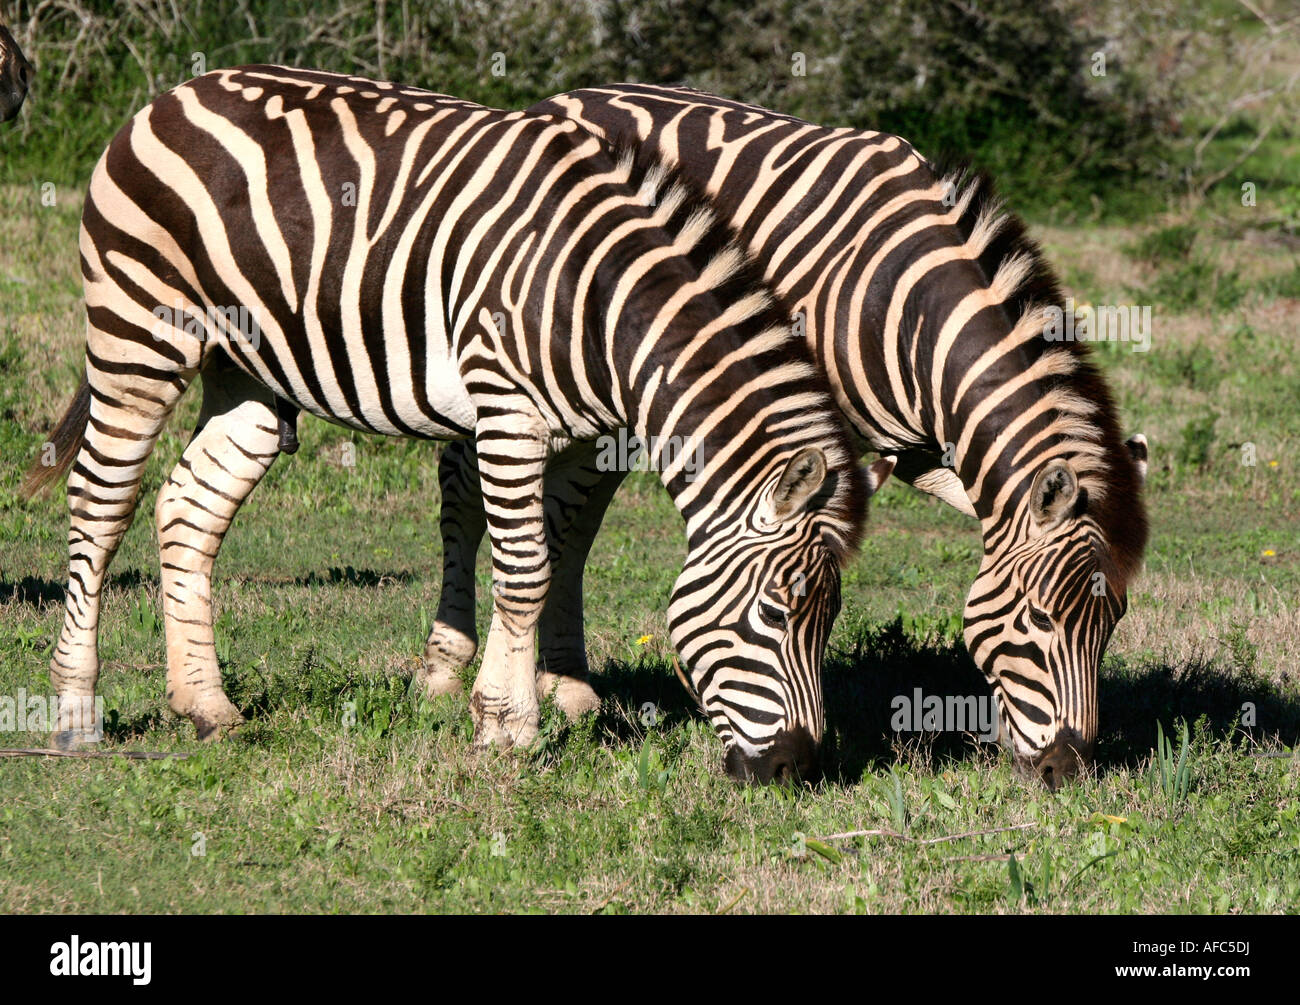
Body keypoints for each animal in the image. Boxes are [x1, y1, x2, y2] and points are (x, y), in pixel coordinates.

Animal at [20, 66, 884, 782]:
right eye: (774, 611)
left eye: (830, 618)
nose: (796, 767)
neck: (601, 307)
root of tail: (172, 94)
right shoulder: (507, 407)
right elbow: (526, 568)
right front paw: (507, 725)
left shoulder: (581, 435)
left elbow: (551, 555)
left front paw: (505, 703)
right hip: (139, 333)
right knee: (101, 503)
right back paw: (75, 712)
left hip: (250, 375)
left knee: (188, 507)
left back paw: (206, 706)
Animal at [428, 84, 1150, 789]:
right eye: (1040, 619)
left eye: (1112, 620)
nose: (1068, 769)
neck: (907, 308)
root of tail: (561, 100)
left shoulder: (922, 453)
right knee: (468, 486)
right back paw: (445, 670)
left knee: (569, 528)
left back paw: (568, 686)